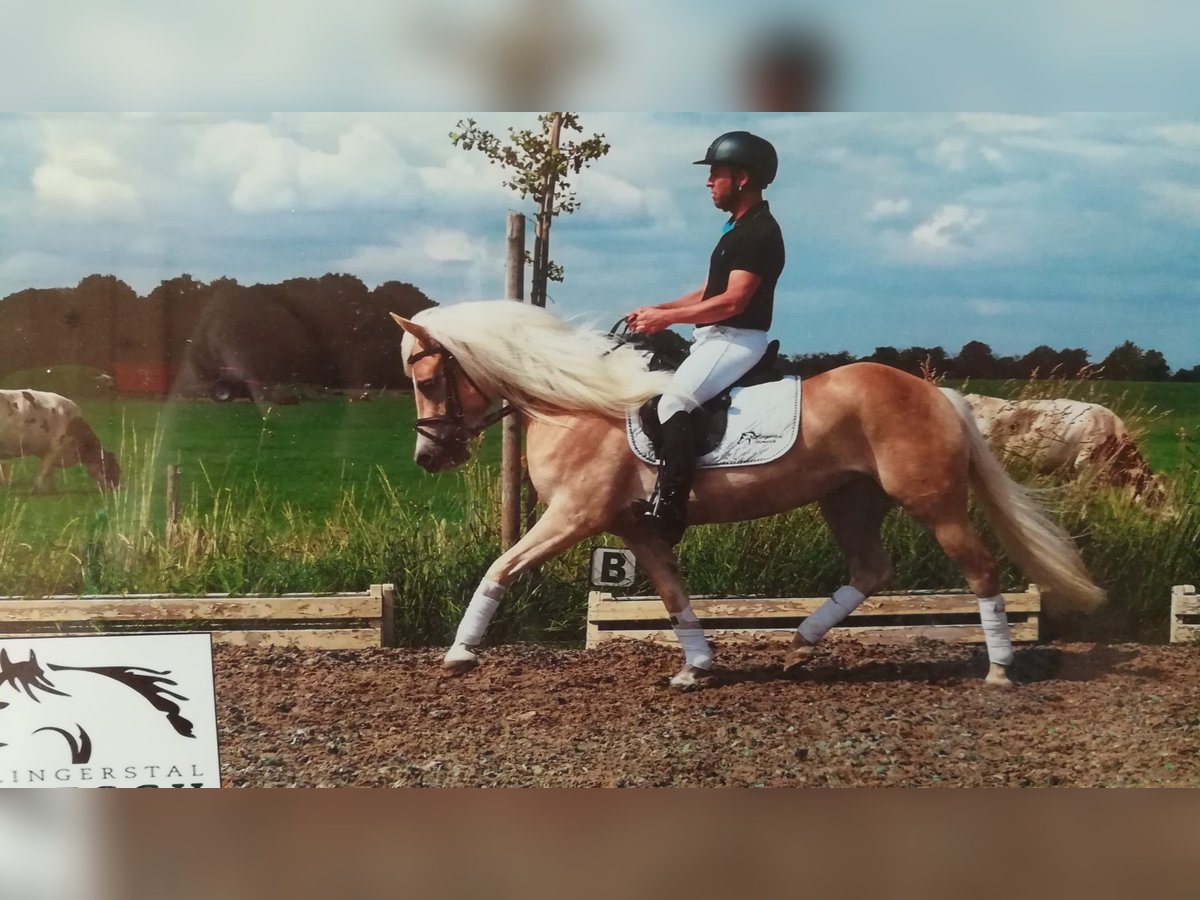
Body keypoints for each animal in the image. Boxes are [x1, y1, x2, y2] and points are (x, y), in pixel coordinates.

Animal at [391, 301, 1104, 689]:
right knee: (871, 569)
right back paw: (800, 645)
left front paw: (459, 652)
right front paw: (697, 667)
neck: (574, 404)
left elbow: (500, 568)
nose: (428, 457)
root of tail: (935, 394)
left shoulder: (573, 517)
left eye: (423, 378)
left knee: (979, 570)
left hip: (933, 502)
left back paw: (1000, 669)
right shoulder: (634, 528)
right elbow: (673, 593)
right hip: (850, 500)